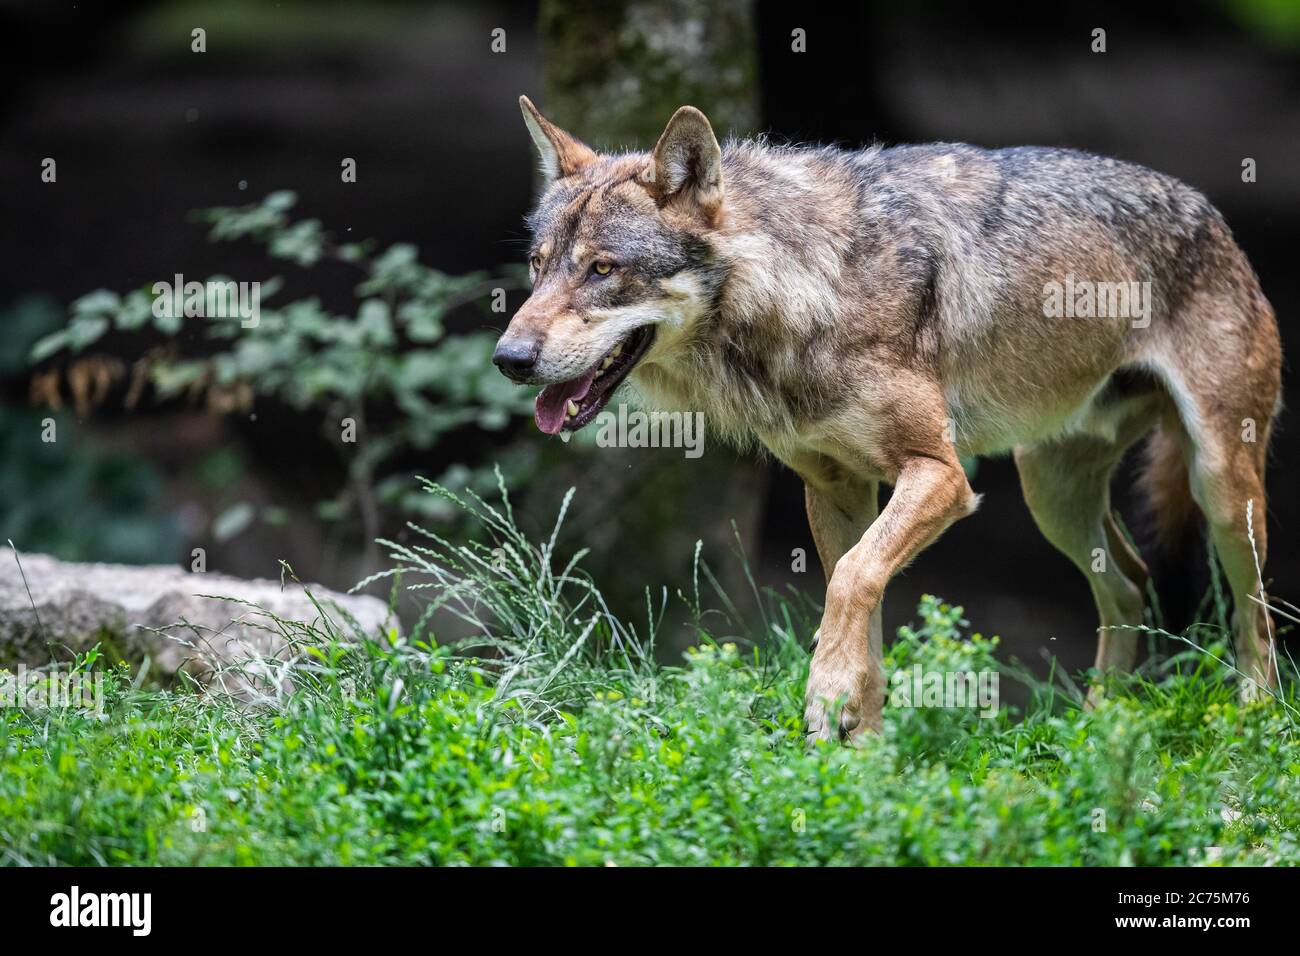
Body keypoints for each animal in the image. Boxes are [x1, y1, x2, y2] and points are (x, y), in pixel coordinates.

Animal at [495, 95, 1282, 742]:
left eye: (602, 269)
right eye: (537, 265)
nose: (509, 357)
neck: (807, 287)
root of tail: (1208, 210)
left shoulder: (940, 474)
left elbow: (850, 581)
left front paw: (827, 697)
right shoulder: (836, 489)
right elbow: (860, 596)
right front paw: (862, 748)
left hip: (1220, 488)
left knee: (1255, 612)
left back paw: (1254, 724)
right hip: (1051, 495)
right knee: (1131, 580)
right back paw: (1098, 729)